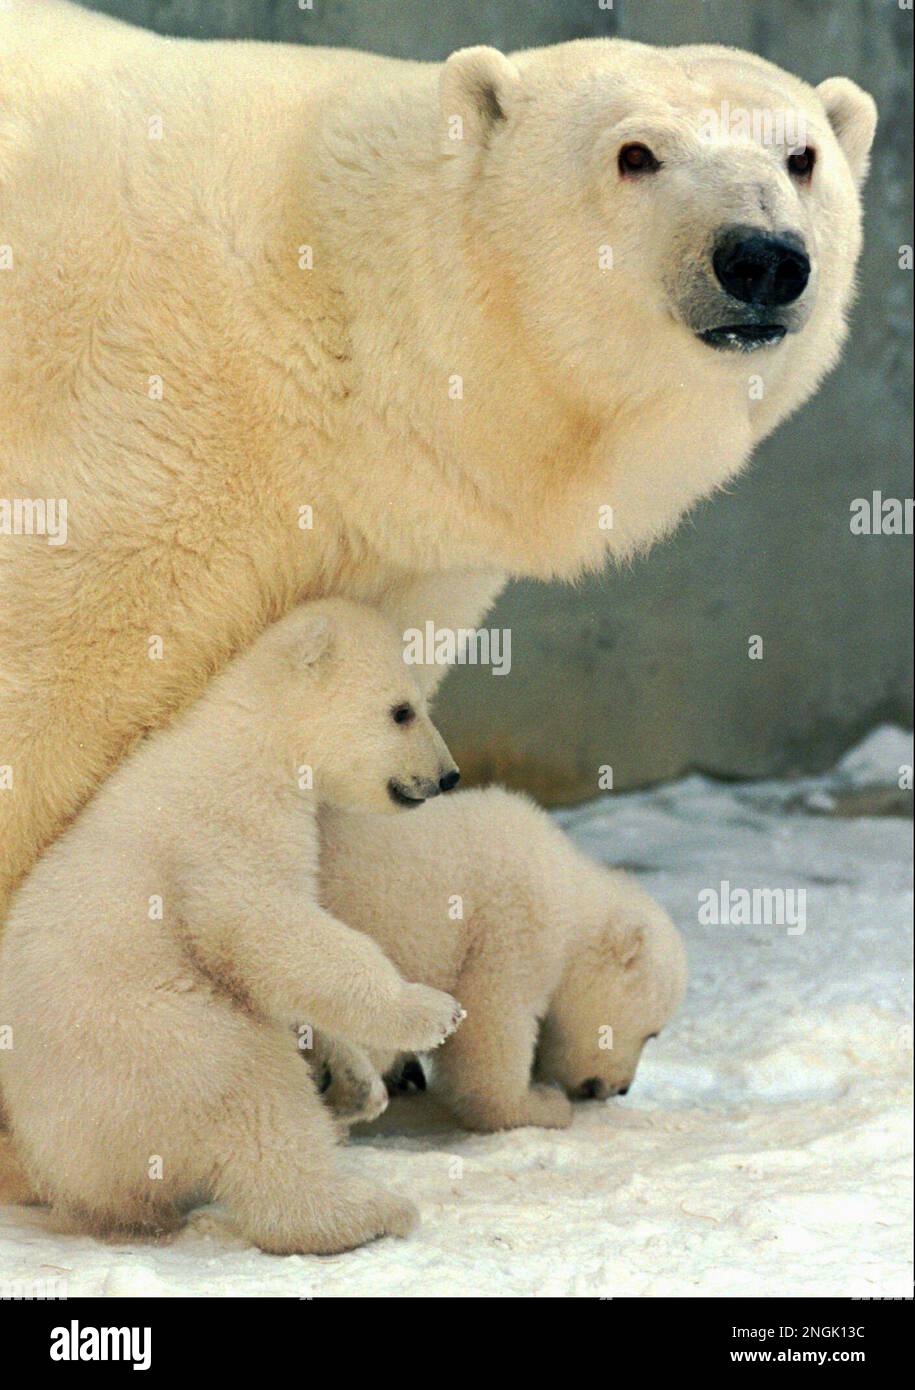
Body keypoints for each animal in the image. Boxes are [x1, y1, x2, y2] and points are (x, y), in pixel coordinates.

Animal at [0, 597, 468, 1253]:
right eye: (402, 710)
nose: (447, 775)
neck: (255, 728)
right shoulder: (229, 817)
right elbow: (266, 927)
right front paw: (432, 1011)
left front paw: (358, 1075)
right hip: (152, 1042)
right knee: (252, 1093)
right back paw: (369, 1210)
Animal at [315, 789, 687, 1133]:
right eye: (651, 1033)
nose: (620, 1089)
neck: (571, 894)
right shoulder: (512, 922)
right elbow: (492, 1019)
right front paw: (541, 1105)